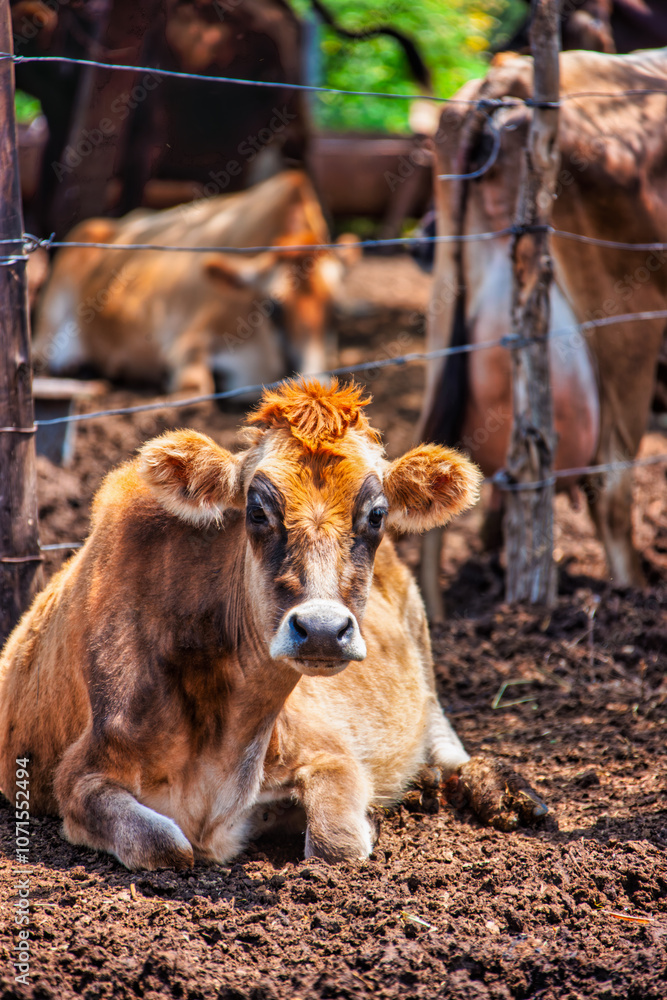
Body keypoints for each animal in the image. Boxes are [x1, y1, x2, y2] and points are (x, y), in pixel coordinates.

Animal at [0, 379, 547, 870]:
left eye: (376, 514)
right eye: (257, 511)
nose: (322, 629)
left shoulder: (330, 753)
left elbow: (336, 843)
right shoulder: (79, 776)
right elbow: (164, 846)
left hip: (424, 653)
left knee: (450, 745)